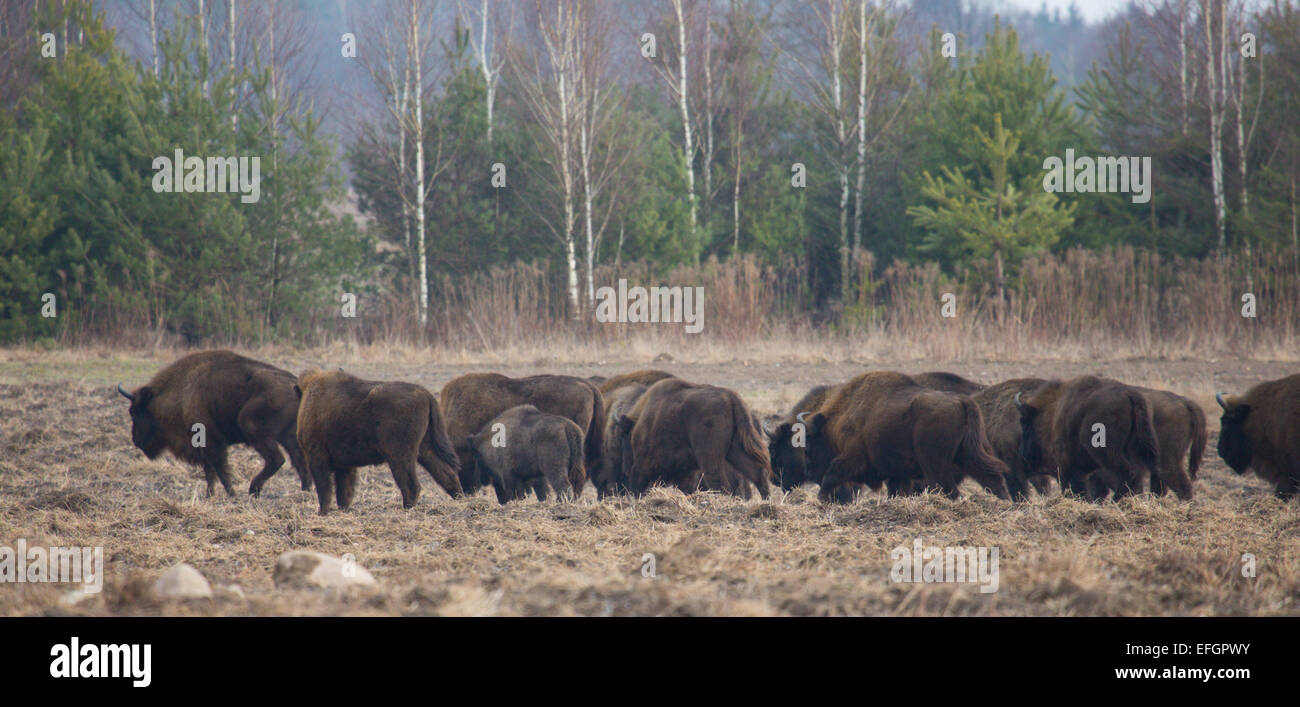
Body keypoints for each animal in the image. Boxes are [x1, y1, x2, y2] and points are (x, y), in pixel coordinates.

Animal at [117, 350, 311, 497]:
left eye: (134, 412)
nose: (136, 440)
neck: (183, 392)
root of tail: (296, 386)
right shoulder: (203, 446)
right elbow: (210, 470)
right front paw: (210, 495)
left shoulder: (210, 441)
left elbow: (219, 468)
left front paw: (231, 494)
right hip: (289, 436)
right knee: (299, 461)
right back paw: (305, 492)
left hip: (252, 427)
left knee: (277, 459)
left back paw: (253, 490)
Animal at [294, 370, 462, 514]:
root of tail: (425, 394)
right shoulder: (345, 465)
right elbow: (344, 490)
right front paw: (343, 509)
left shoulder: (316, 456)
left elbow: (325, 488)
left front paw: (323, 512)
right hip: (424, 448)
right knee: (445, 472)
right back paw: (458, 498)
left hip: (399, 454)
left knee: (411, 484)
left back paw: (406, 508)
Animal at [615, 378, 772, 498]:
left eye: (623, 435)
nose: (625, 469)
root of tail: (731, 398)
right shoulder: (686, 473)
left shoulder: (643, 464)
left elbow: (637, 485)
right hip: (735, 449)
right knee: (756, 473)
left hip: (710, 456)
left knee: (720, 482)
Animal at [805, 372, 1011, 502]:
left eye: (810, 446)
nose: (811, 474)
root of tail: (963, 401)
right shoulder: (898, 474)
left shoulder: (853, 456)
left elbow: (833, 471)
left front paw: (821, 498)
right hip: (970, 454)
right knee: (991, 478)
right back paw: (1005, 503)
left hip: (936, 464)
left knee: (950, 489)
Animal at [1017, 376, 1159, 501]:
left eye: (1024, 421)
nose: (1024, 454)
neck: (1052, 410)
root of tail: (1130, 396)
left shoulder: (1067, 468)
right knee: (1137, 477)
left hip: (1108, 454)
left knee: (1128, 474)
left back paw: (1115, 501)